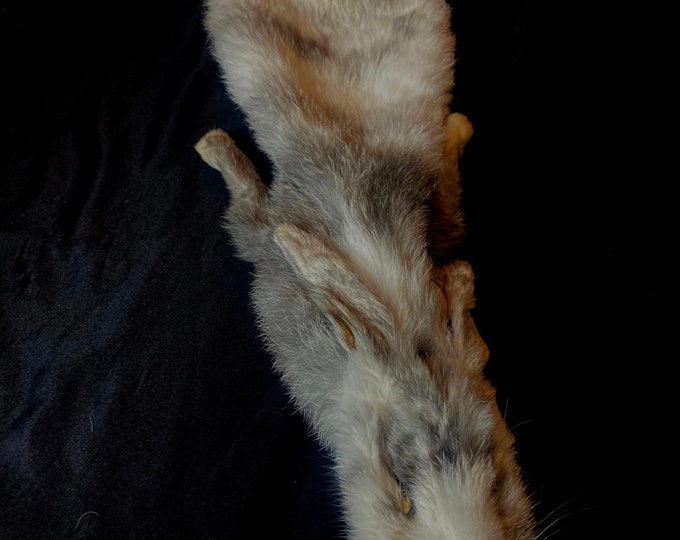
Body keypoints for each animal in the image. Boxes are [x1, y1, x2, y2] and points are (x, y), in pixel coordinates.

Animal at [196, 0, 536, 538]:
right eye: (401, 493)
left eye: (500, 487)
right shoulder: (259, 237)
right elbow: (249, 210)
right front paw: (214, 149)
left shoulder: (441, 230)